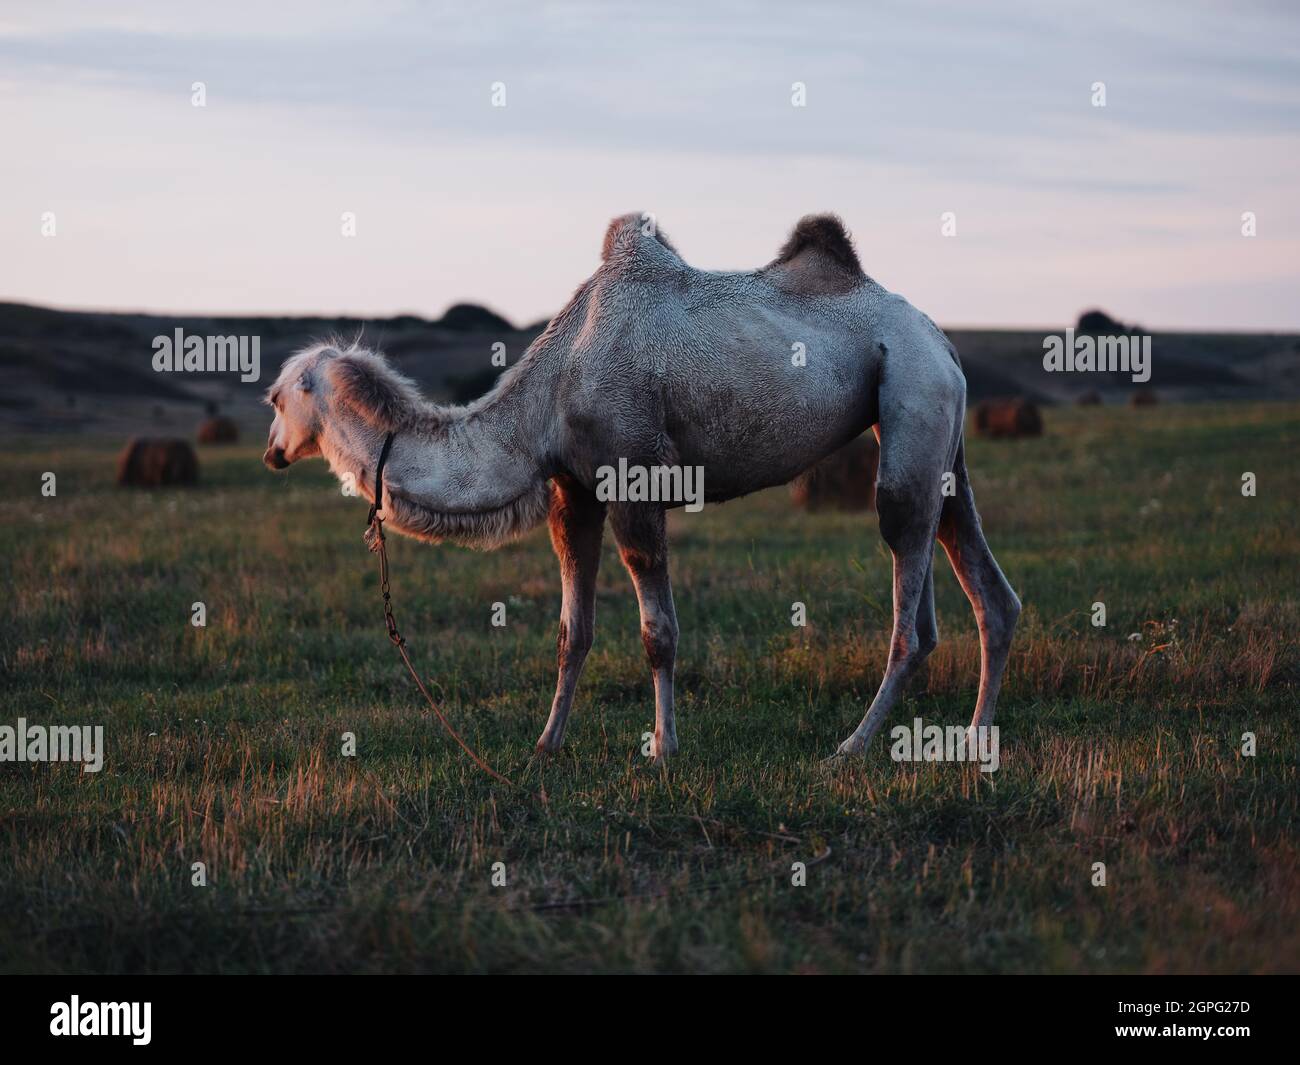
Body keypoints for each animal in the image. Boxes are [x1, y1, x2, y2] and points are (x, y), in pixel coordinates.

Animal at [263, 213, 1020, 761]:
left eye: (275, 396)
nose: (270, 451)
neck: (544, 399)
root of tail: (941, 338)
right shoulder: (573, 494)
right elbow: (571, 630)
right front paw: (546, 744)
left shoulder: (634, 479)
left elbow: (658, 632)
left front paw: (663, 749)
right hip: (938, 436)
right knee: (988, 591)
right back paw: (974, 740)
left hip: (912, 398)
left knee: (909, 606)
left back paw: (853, 746)